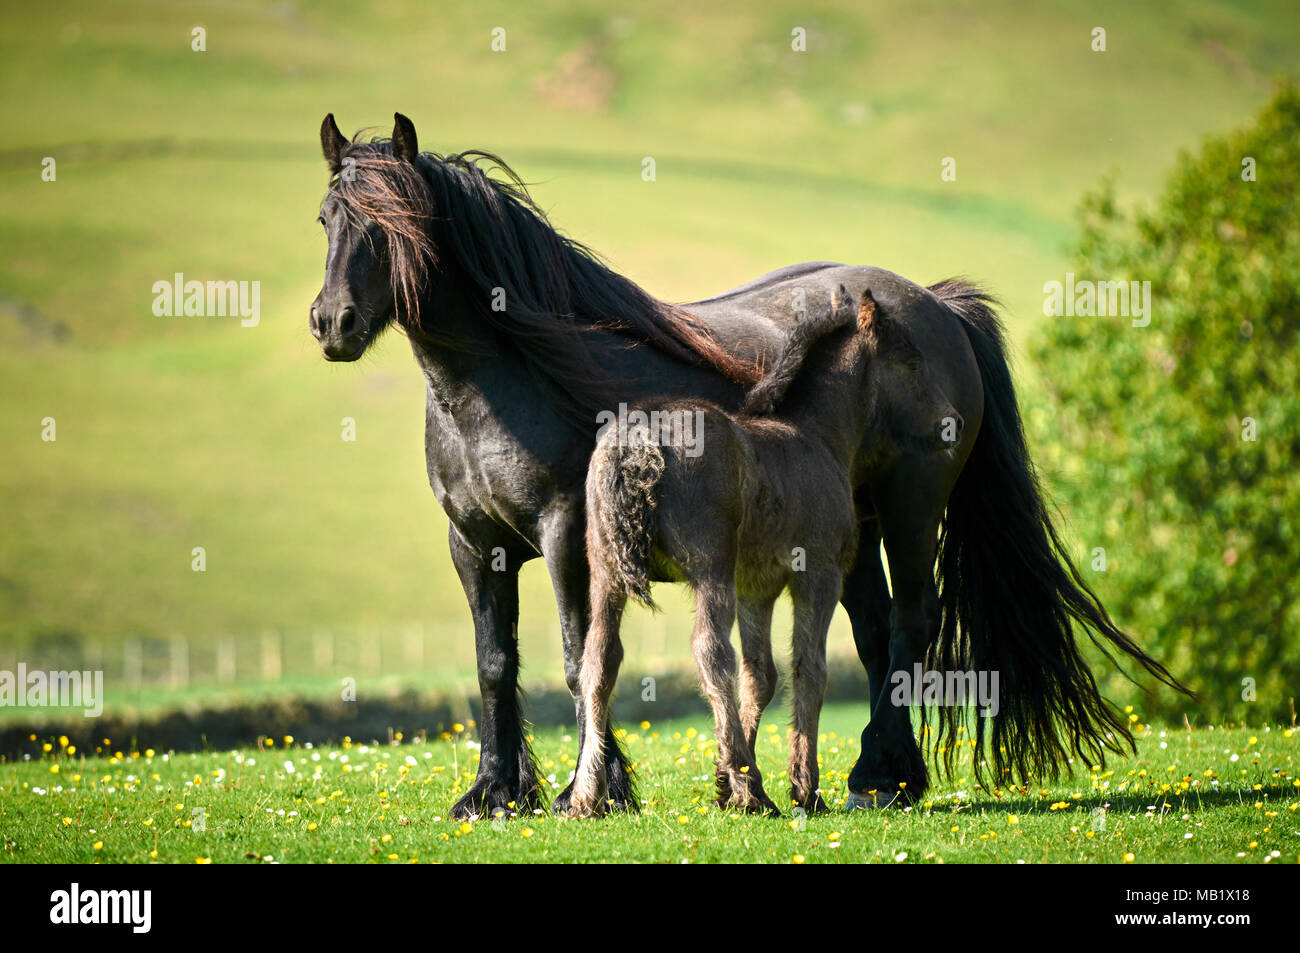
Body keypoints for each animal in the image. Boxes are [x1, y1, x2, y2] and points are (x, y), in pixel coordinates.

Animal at [572, 286, 958, 816]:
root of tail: (637, 437)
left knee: (599, 662)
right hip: (709, 566)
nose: (952, 423)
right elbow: (808, 668)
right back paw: (753, 790)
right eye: (914, 362)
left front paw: (723, 784)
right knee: (710, 652)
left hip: (606, 572)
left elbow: (762, 676)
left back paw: (587, 796)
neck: (817, 435)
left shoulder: (756, 587)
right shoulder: (818, 573)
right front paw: (802, 787)